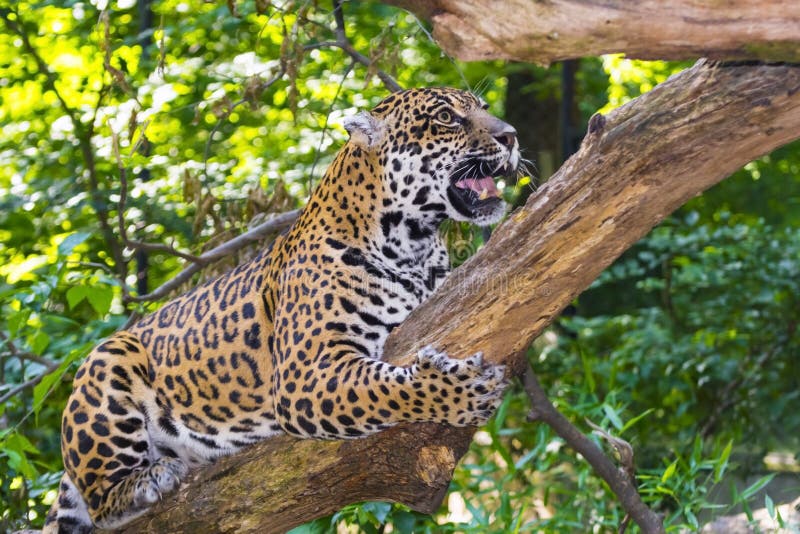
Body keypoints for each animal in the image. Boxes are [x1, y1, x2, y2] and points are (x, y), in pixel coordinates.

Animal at [43, 87, 520, 533]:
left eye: (481, 107)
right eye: (446, 118)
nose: (511, 135)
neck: (413, 245)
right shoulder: (305, 374)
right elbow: (387, 389)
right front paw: (459, 389)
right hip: (109, 357)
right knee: (101, 503)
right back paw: (147, 480)